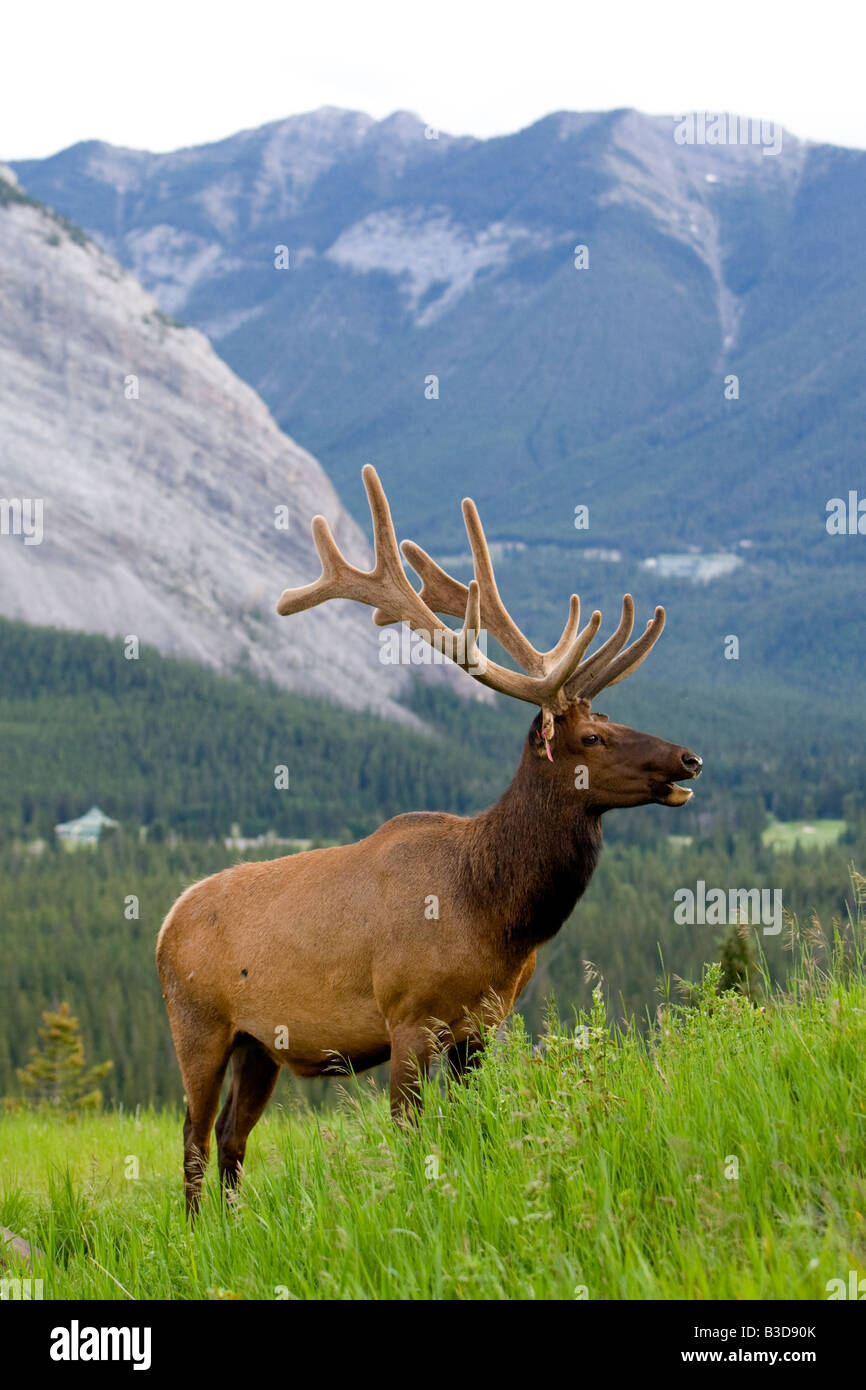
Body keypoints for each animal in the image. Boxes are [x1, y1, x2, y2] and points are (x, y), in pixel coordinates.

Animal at [157, 466, 702, 1216]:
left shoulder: (483, 1025)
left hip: (259, 1043)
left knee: (233, 1134)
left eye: (615, 718)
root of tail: (165, 922)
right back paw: (196, 1229)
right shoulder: (408, 1017)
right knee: (193, 1134)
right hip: (198, 1023)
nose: (687, 759)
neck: (494, 914)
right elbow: (408, 1135)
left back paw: (235, 1226)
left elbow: (477, 1126)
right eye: (592, 736)